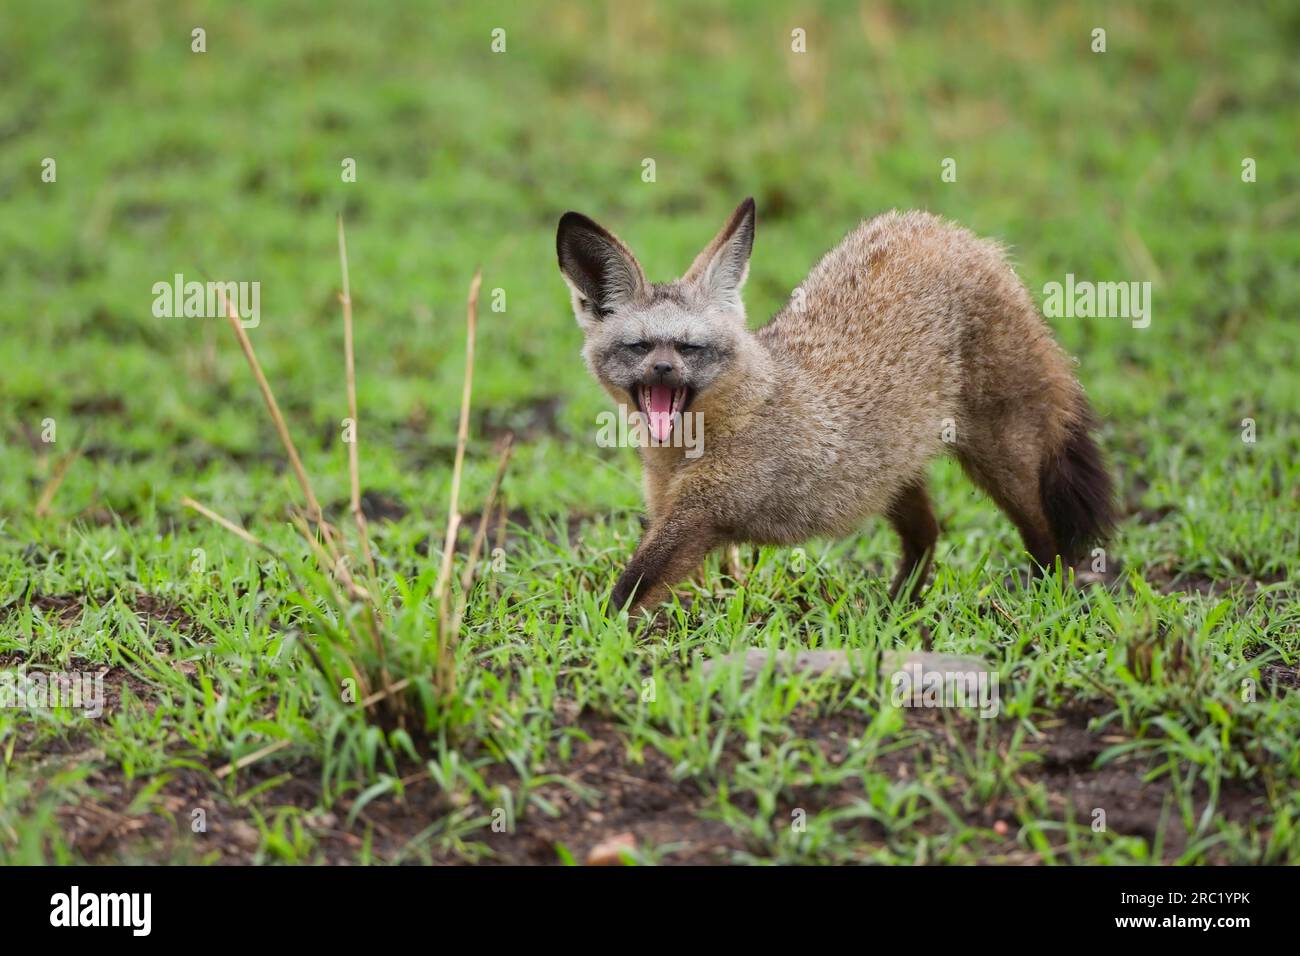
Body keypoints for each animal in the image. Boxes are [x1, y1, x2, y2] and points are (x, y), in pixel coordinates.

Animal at [555, 198, 1115, 617]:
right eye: (639, 348)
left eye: (689, 348)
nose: (663, 370)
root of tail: (957, 234)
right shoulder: (677, 517)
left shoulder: (699, 518)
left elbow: (624, 594)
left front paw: (600, 638)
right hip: (893, 475)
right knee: (929, 535)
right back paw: (895, 612)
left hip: (1003, 463)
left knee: (1049, 542)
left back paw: (1046, 602)